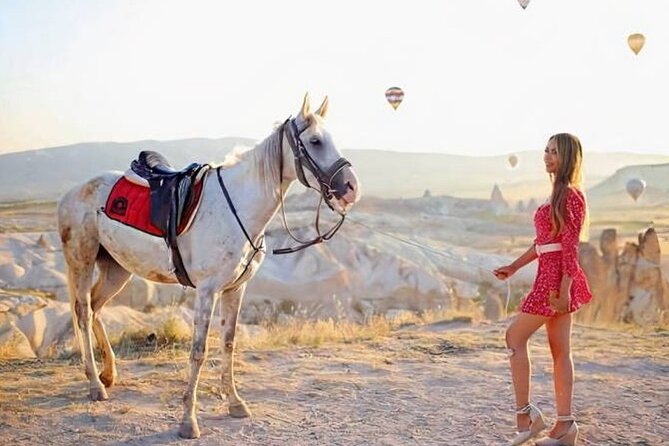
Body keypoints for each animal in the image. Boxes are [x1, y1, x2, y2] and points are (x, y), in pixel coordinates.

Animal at [57, 94, 361, 439]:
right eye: (315, 141)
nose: (351, 187)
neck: (238, 206)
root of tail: (72, 193)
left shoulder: (235, 289)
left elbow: (228, 344)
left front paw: (235, 403)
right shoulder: (206, 291)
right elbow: (198, 351)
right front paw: (188, 420)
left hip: (117, 269)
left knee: (95, 308)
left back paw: (109, 375)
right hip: (81, 262)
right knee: (82, 313)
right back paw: (95, 384)